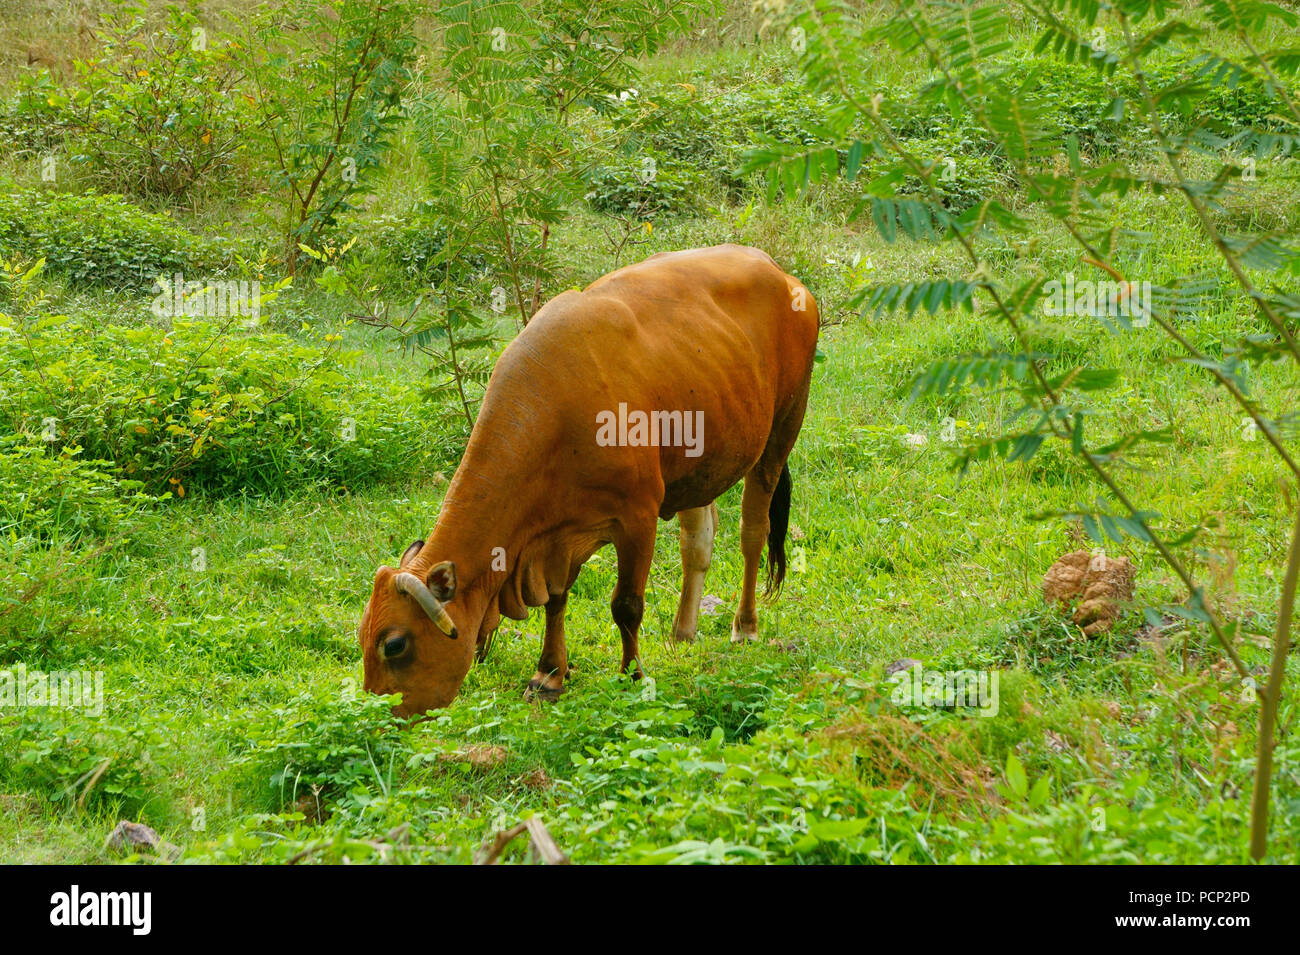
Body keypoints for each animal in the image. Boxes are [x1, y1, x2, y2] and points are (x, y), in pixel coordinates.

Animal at [358, 244, 819, 716]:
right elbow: (556, 599)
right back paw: (682, 631)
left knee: (753, 532)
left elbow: (626, 605)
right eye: (361, 637)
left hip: (781, 430)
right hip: (702, 457)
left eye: (394, 645)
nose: (377, 716)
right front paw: (548, 673)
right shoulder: (559, 532)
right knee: (698, 541)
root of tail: (779, 272)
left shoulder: (638, 516)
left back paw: (744, 625)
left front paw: (632, 674)